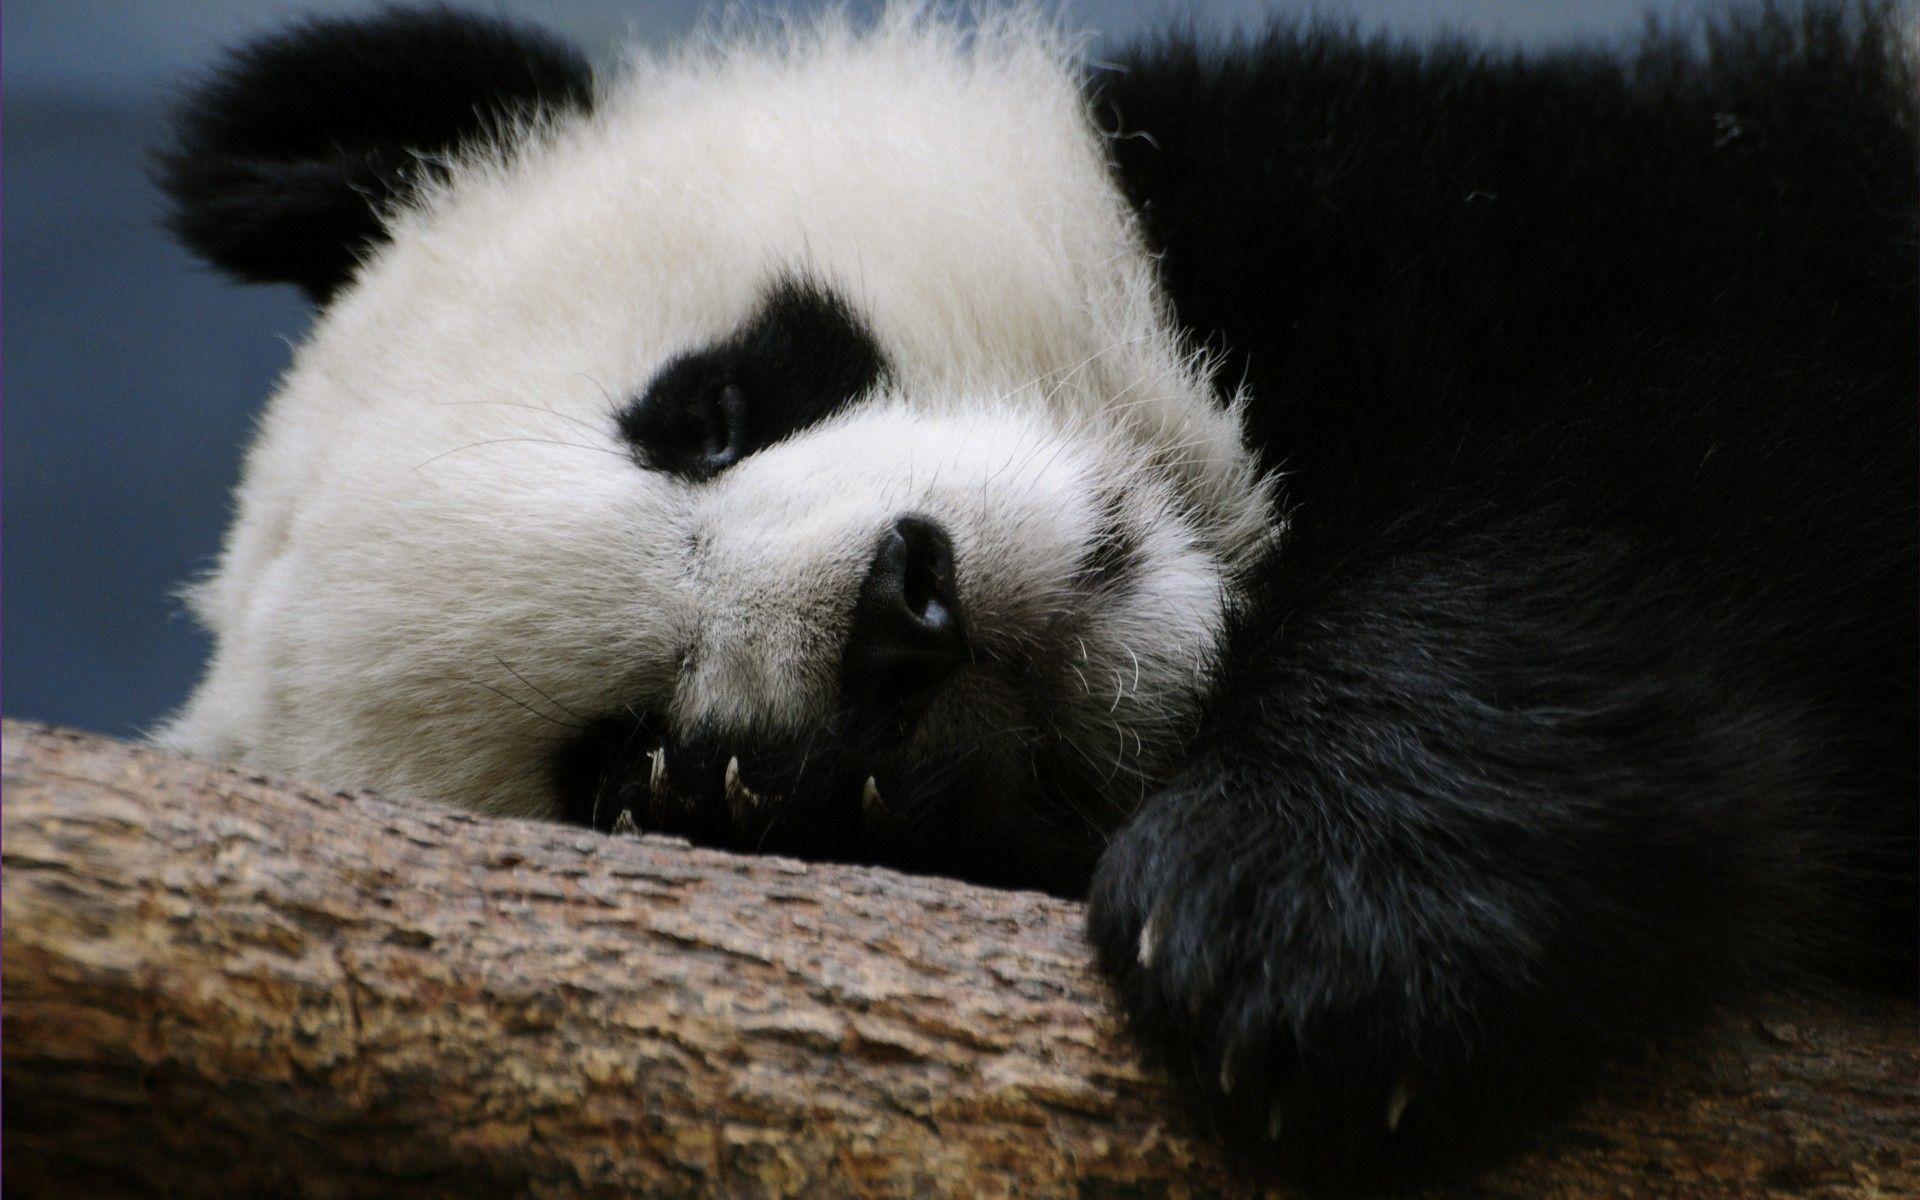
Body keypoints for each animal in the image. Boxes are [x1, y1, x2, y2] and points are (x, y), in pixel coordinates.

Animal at [155, 1, 1915, 1185]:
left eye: (709, 408)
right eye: (632, 764)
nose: (900, 612)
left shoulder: (1514, 203)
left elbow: (1660, 429)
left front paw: (1309, 917)